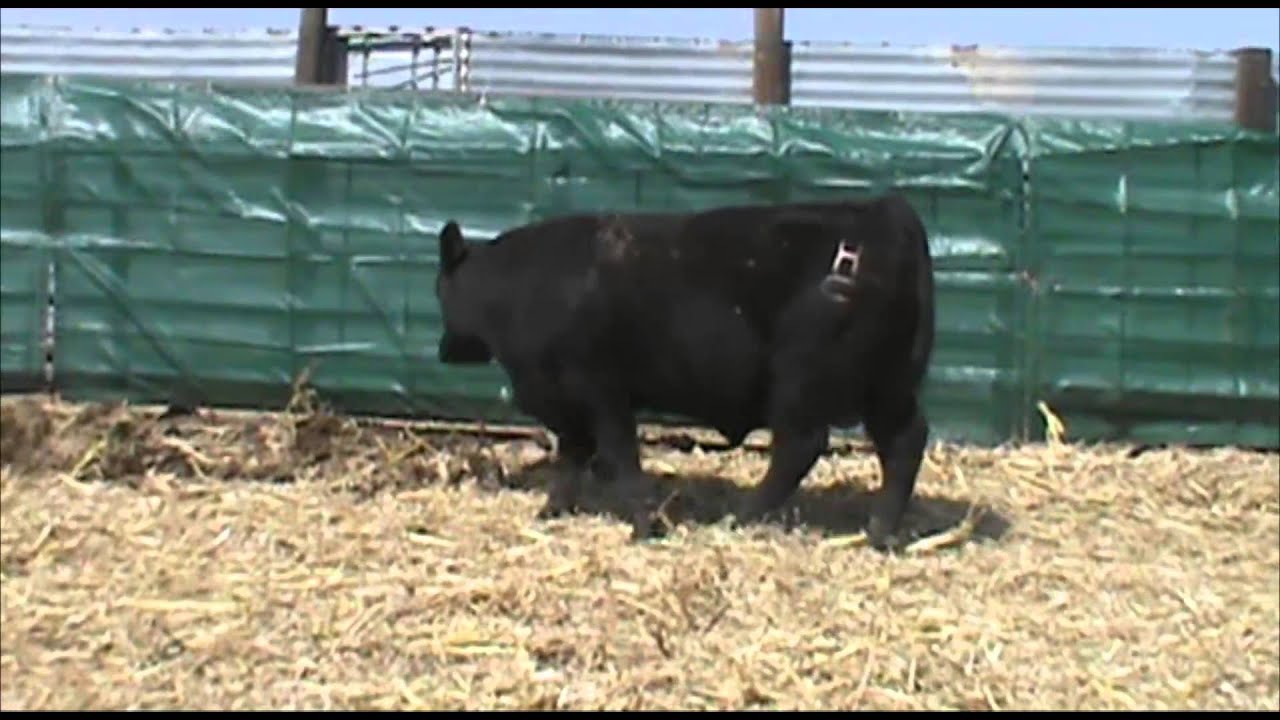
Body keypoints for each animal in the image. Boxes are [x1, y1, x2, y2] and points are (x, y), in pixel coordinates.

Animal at [434, 193, 936, 552]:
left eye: (440, 291)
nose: (443, 350)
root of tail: (883, 211)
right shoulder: (569, 402)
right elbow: (573, 457)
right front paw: (551, 511)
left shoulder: (600, 390)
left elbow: (620, 457)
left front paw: (643, 527)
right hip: (886, 387)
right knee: (904, 442)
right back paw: (879, 533)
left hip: (803, 382)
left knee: (799, 447)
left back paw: (742, 515)